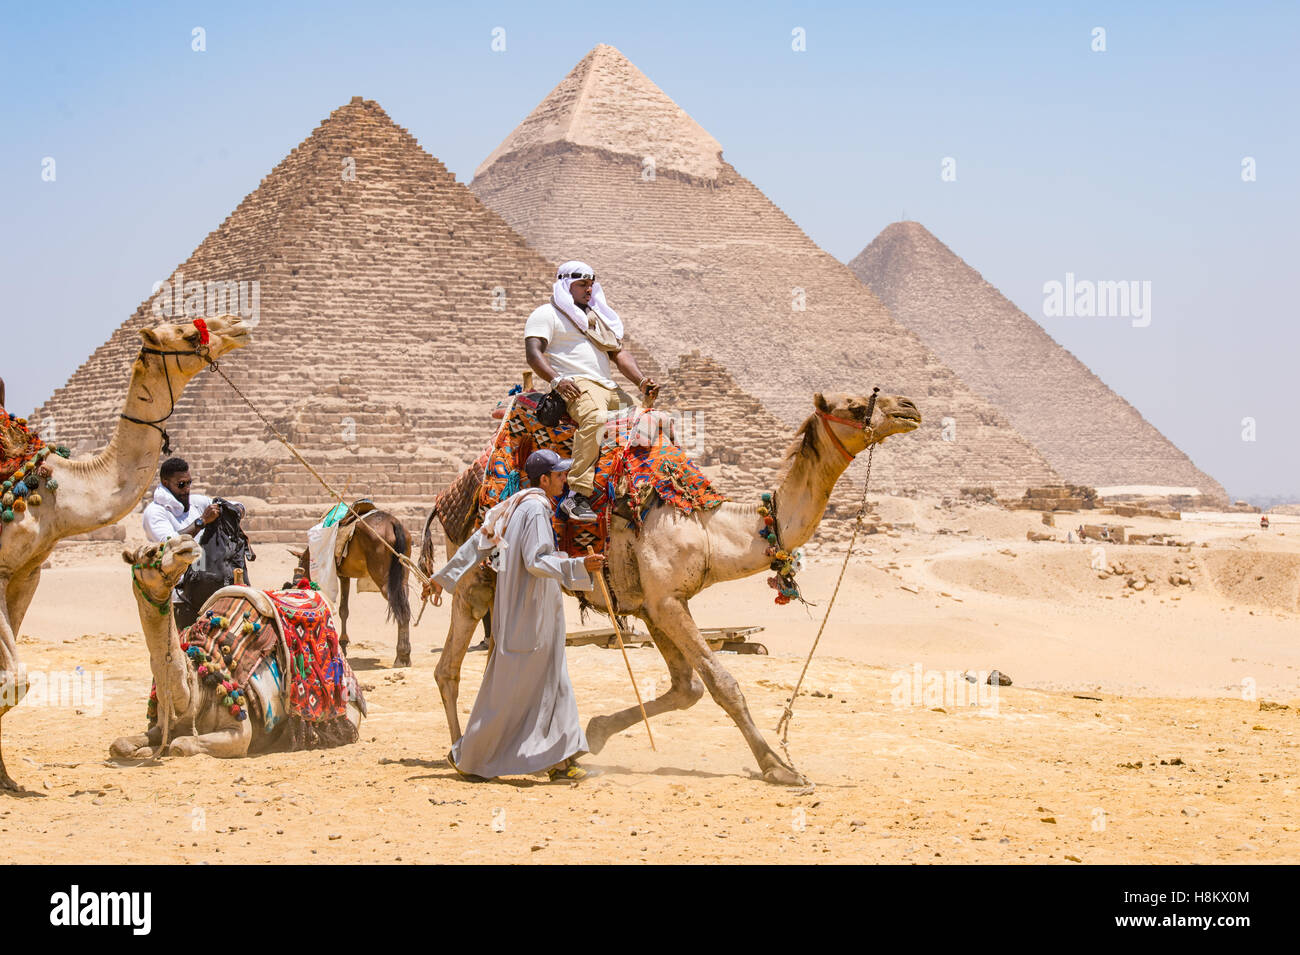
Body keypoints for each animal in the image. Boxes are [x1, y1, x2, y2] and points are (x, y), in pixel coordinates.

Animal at [0, 316, 250, 791]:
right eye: (188, 333)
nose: (237, 324)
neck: (60, 492)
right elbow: (15, 679)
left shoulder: (27, 573)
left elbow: (11, 678)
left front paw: (6, 780)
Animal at [429, 390, 921, 785]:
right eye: (854, 405)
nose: (909, 408)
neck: (711, 529)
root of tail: (452, 490)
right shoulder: (667, 602)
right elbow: (723, 684)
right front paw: (778, 767)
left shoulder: (653, 604)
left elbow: (688, 689)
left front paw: (596, 732)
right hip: (475, 576)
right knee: (448, 665)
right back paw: (460, 754)